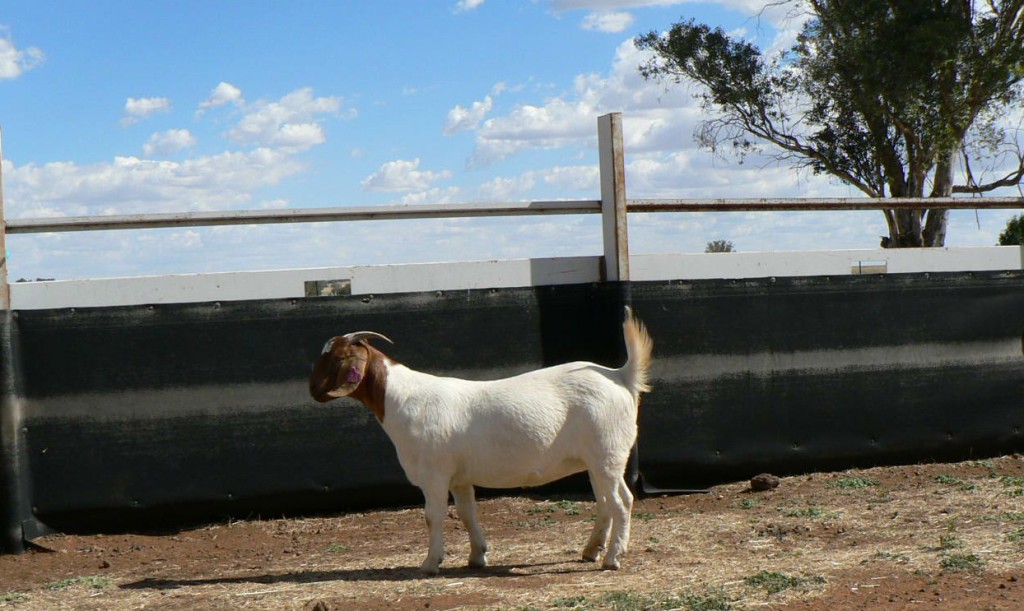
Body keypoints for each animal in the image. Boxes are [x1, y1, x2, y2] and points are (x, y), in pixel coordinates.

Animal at [308, 307, 653, 574]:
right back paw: (591, 550)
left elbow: (432, 516)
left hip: (608, 454)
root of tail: (621, 376)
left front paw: (430, 564)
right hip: (597, 460)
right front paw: (477, 556)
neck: (400, 399)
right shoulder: (459, 477)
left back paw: (612, 558)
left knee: (622, 501)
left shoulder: (434, 474)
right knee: (605, 502)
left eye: (335, 357)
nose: (312, 391)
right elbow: (466, 513)